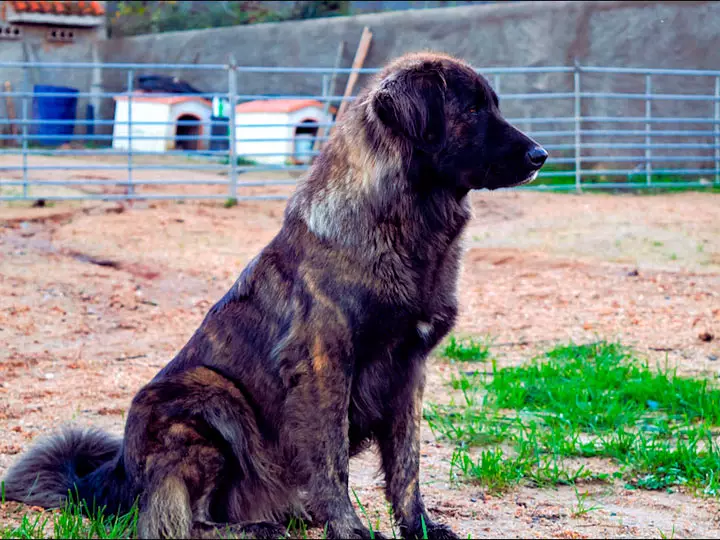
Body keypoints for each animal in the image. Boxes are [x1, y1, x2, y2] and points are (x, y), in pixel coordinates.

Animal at [4, 51, 544, 540]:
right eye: (472, 110)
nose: (540, 156)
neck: (400, 221)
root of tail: (105, 480)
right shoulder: (326, 363)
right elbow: (332, 460)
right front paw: (349, 529)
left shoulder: (409, 368)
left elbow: (407, 464)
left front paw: (420, 529)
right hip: (211, 399)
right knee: (182, 522)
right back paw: (257, 528)